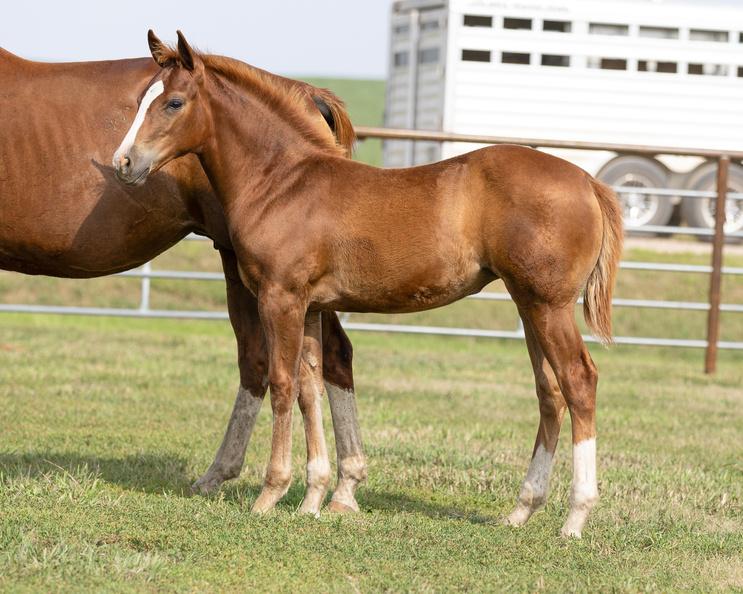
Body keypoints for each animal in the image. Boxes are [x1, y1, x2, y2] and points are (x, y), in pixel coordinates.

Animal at [114, 30, 623, 537]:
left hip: (548, 304)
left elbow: (281, 383)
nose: (124, 162)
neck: (282, 183)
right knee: (549, 392)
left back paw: (575, 517)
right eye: (140, 100)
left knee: (579, 381)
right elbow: (310, 389)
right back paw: (521, 510)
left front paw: (271, 494)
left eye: (174, 102)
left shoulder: (281, 299)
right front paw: (313, 498)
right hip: (527, 303)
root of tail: (587, 182)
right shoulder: (312, 307)